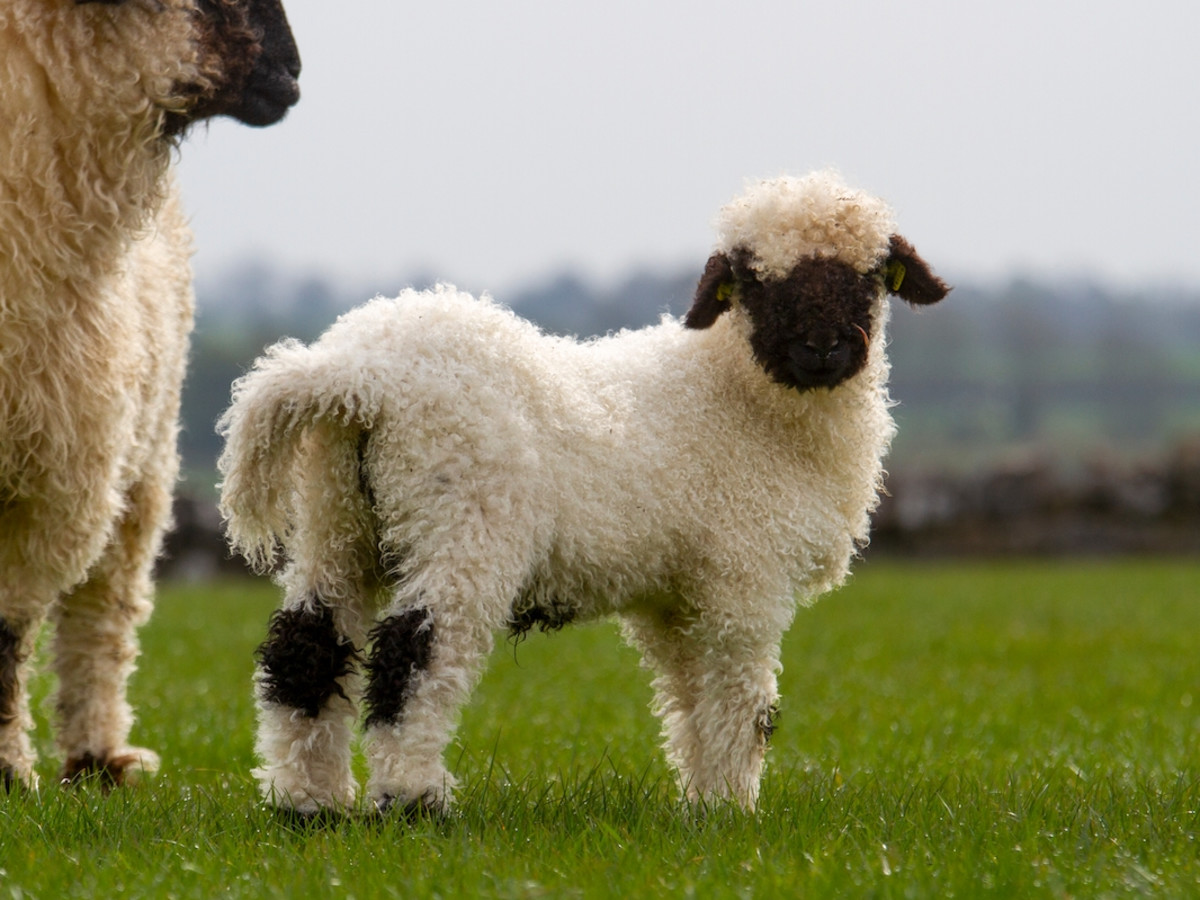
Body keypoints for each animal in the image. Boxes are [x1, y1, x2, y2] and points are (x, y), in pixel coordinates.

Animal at [0, 0, 300, 791]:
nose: (294, 74)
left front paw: (8, 770)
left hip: (137, 461)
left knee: (103, 613)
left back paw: (100, 757)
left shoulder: (54, 479)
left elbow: (6, 631)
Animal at [217, 170, 950, 817]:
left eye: (870, 276)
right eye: (754, 282)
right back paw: (413, 800)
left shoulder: (677, 598)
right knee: (415, 653)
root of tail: (355, 373)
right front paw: (736, 809)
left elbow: (691, 703)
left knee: (304, 648)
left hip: (334, 516)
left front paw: (704, 807)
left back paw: (308, 804)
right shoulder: (743, 577)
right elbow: (742, 703)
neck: (736, 395)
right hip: (462, 525)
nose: (821, 348)